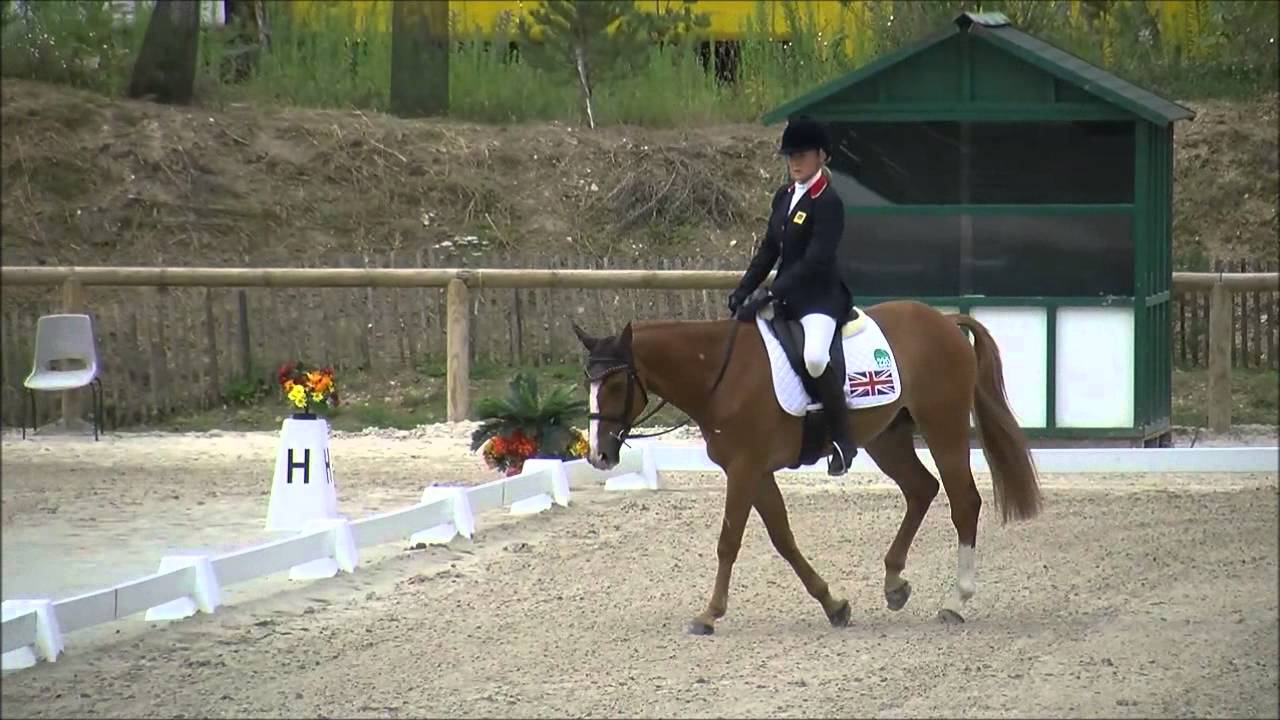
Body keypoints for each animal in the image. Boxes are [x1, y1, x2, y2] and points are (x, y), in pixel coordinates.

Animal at [572, 298, 1043, 634]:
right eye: (587, 383)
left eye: (616, 383)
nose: (599, 455)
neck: (718, 375)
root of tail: (944, 320)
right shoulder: (756, 472)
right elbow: (783, 539)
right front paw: (834, 605)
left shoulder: (744, 469)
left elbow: (729, 542)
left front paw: (709, 614)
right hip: (886, 437)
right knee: (921, 489)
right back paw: (894, 584)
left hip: (943, 427)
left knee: (963, 501)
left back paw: (955, 601)